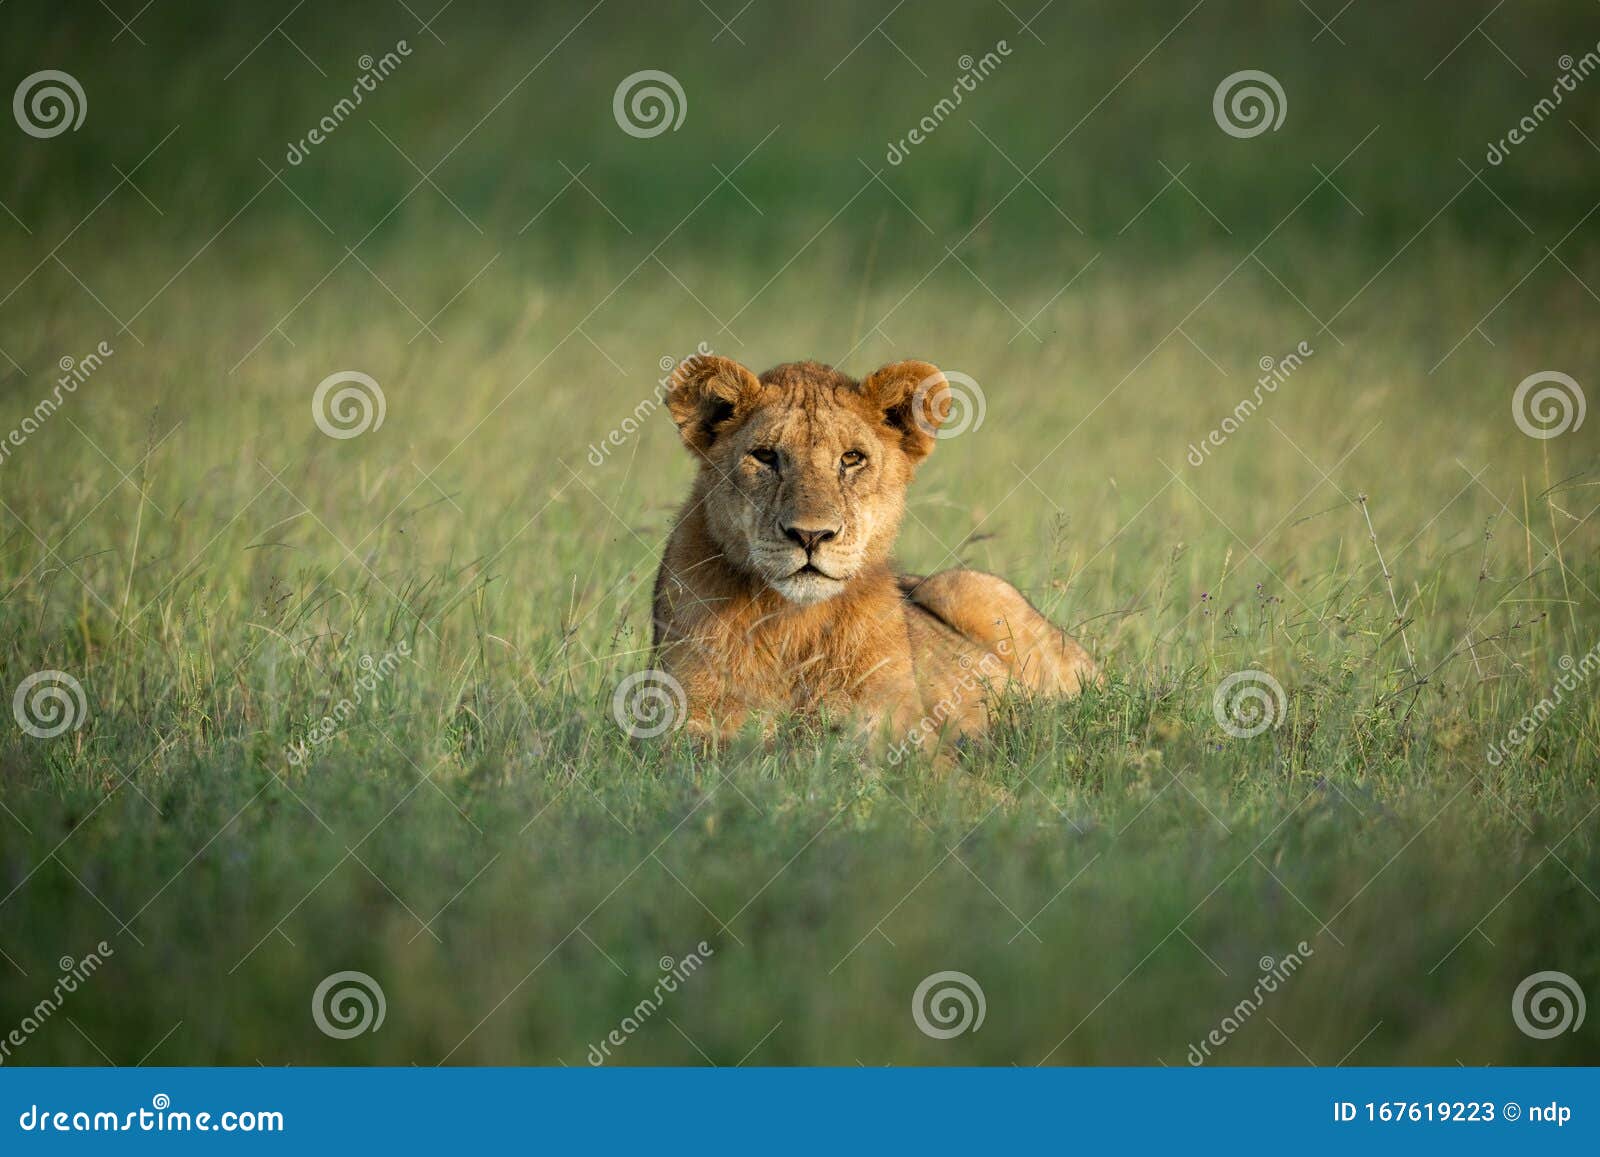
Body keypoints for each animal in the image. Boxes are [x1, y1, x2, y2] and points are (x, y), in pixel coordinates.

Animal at [650, 355, 1097, 757]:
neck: (794, 624)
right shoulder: (676, 719)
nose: (810, 535)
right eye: (765, 456)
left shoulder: (903, 725)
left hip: (962, 586)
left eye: (851, 458)